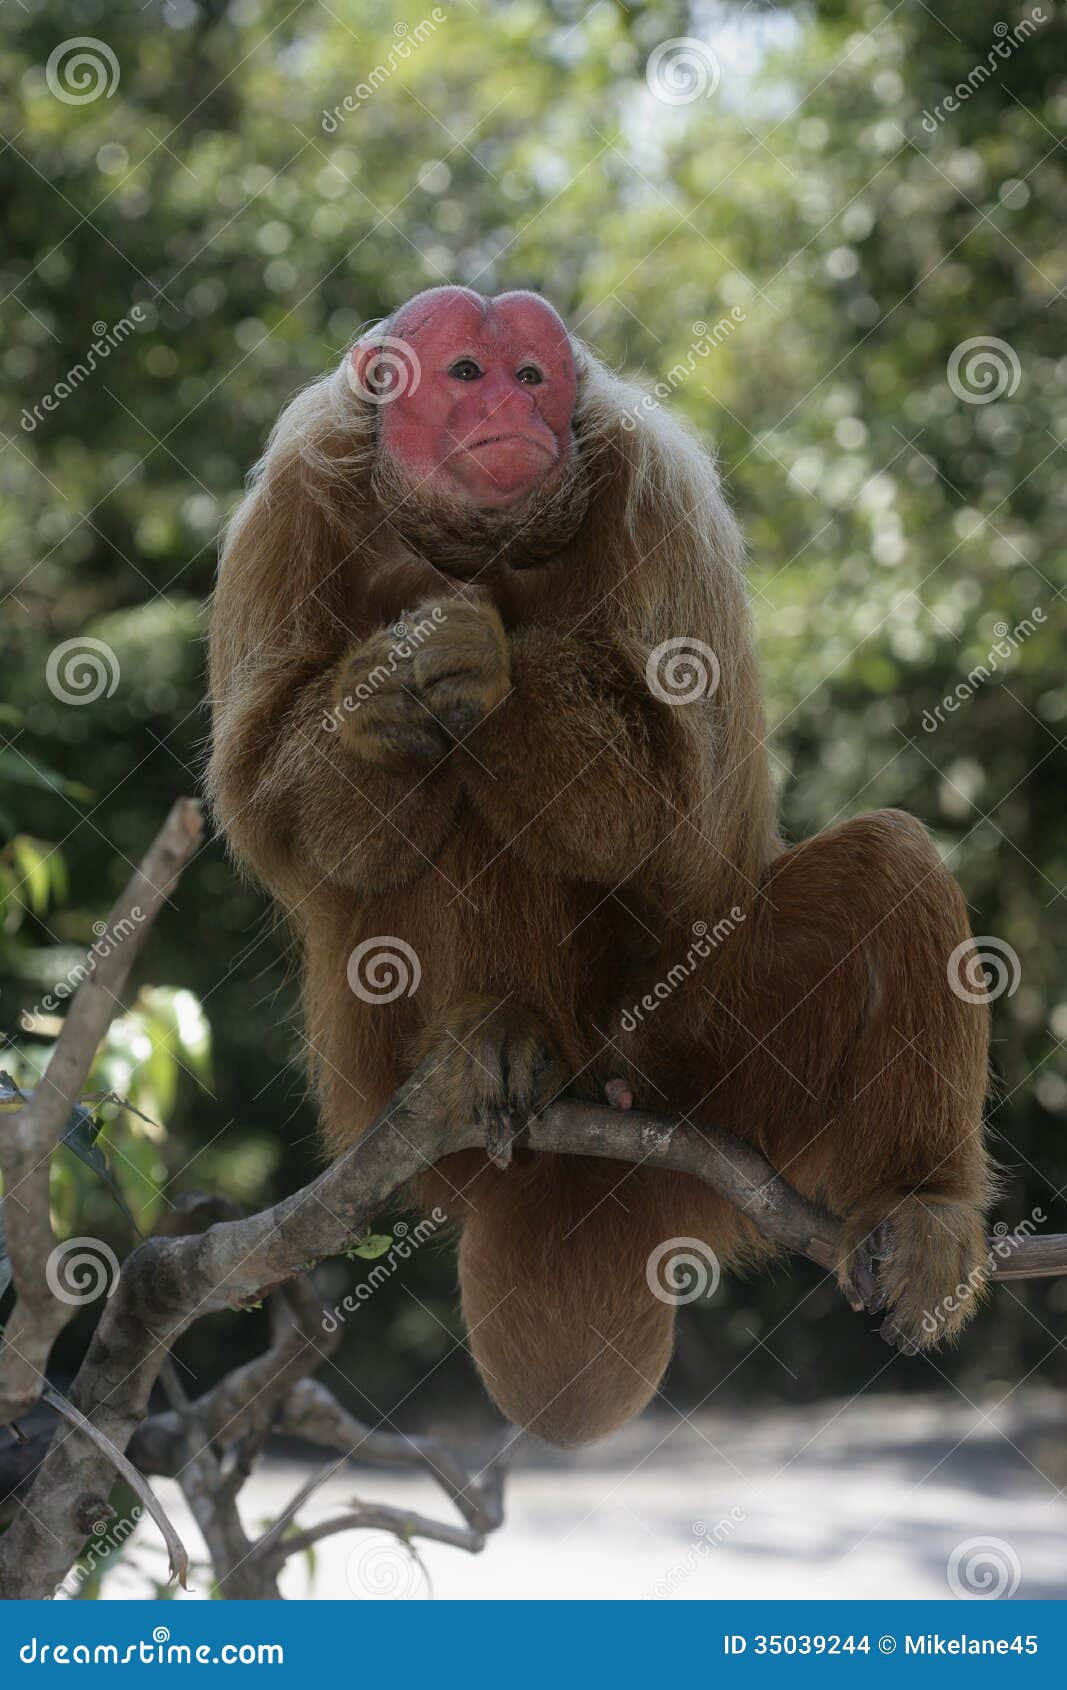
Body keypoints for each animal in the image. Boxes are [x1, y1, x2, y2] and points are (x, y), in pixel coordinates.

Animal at [207, 285, 991, 1449]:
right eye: (468, 372)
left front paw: (479, 658)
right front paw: (390, 682)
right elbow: (276, 810)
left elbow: (675, 811)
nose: (516, 413)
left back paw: (921, 1202)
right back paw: (493, 1034)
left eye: (533, 378)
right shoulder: (289, 506)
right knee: (441, 791)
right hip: (374, 1077)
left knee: (885, 865)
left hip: (700, 1060)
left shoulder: (657, 497)